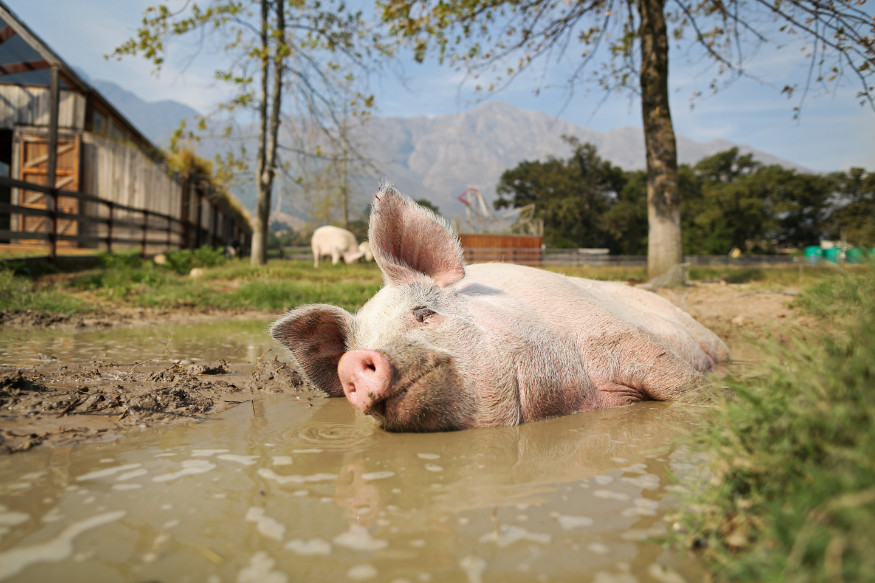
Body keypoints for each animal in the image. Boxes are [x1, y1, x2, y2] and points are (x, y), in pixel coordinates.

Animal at [272, 186, 729, 432]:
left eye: (423, 313)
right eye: (355, 348)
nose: (354, 361)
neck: (557, 402)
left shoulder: (615, 334)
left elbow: (679, 383)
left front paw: (716, 402)